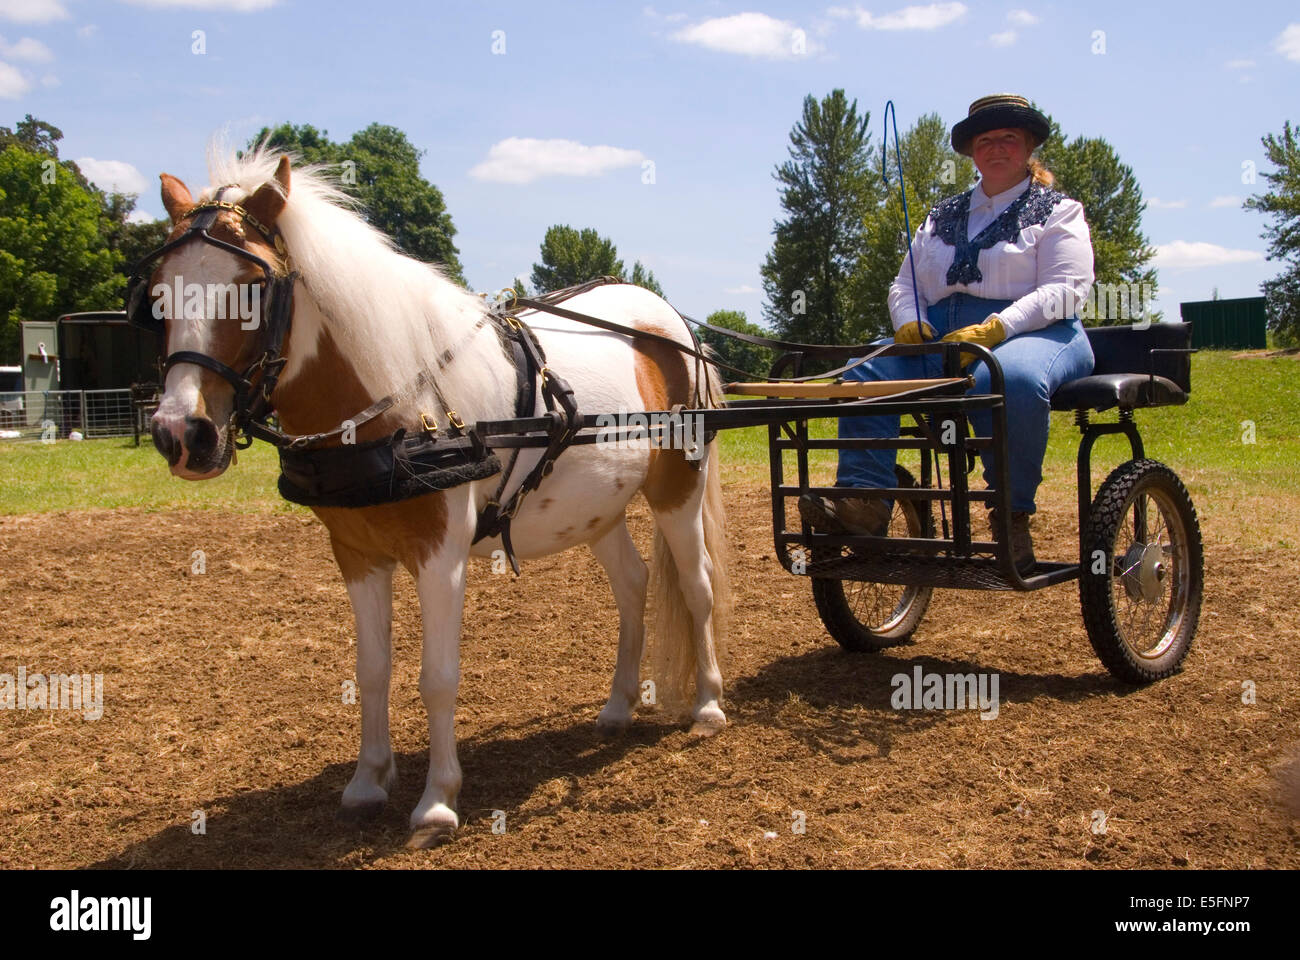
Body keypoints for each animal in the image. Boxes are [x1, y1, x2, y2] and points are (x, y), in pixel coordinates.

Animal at [142, 148, 731, 848]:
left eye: (254, 287)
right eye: (159, 293)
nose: (182, 434)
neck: (402, 401)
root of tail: (665, 317)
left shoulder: (440, 555)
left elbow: (438, 677)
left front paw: (437, 803)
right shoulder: (357, 555)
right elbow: (372, 671)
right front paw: (368, 782)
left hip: (677, 488)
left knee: (696, 586)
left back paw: (709, 705)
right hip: (596, 507)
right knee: (633, 583)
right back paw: (617, 706)